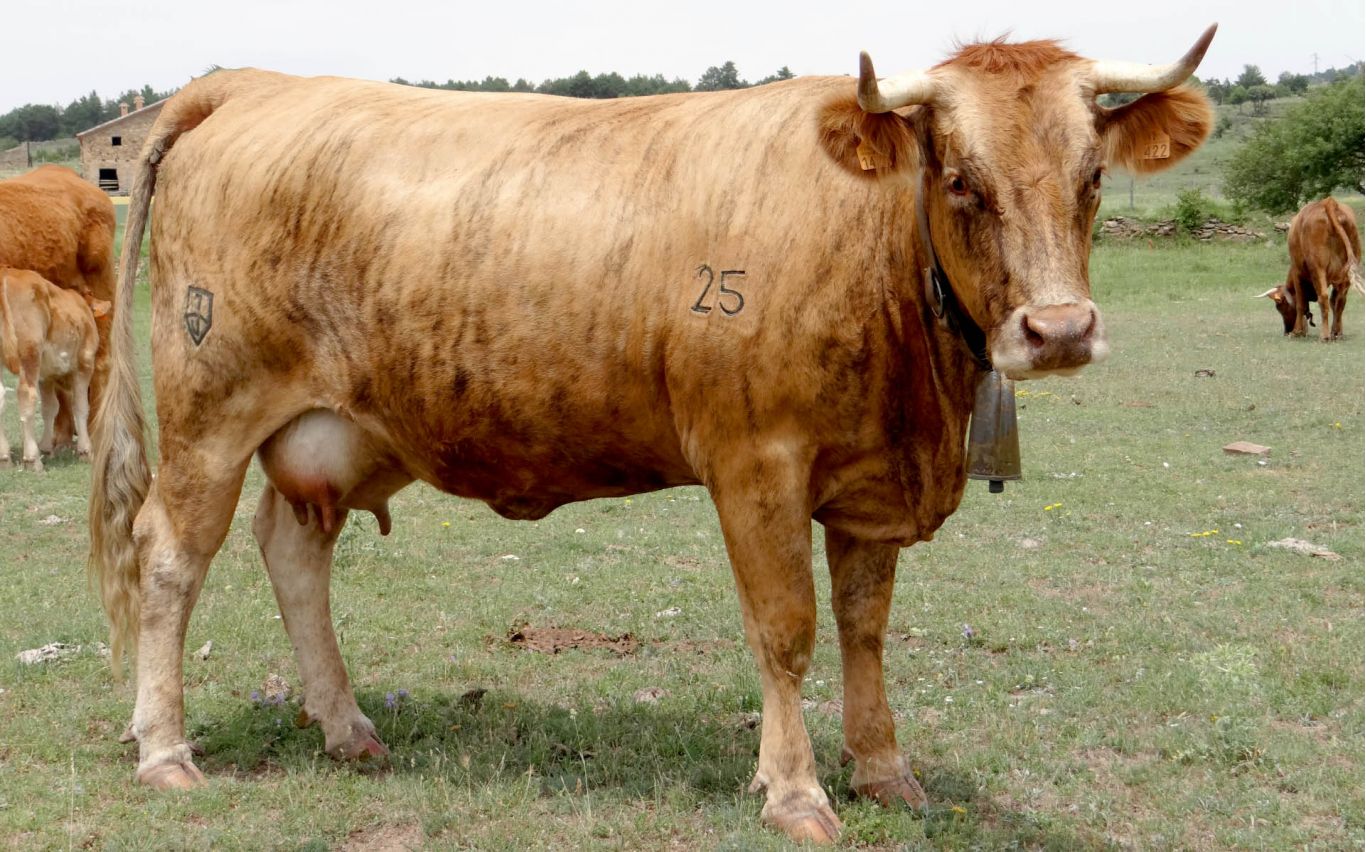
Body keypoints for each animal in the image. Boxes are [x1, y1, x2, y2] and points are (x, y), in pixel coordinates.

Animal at [0, 268, 109, 470]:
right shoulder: (85, 363)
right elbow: (80, 406)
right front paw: (85, 451)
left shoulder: (46, 376)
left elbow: (50, 408)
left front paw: (46, 447)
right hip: (30, 350)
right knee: (27, 394)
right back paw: (32, 459)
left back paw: (4, 458)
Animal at [89, 27, 1215, 843]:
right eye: (958, 180)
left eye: (1093, 177)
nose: (1058, 330)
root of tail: (250, 82)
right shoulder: (756, 463)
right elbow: (787, 629)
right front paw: (795, 792)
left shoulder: (866, 489)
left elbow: (864, 629)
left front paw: (886, 772)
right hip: (209, 416)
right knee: (169, 561)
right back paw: (165, 752)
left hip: (334, 431)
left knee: (293, 549)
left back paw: (346, 727)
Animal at [1257, 197, 1364, 340]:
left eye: (1280, 307)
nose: (1286, 331)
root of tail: (1328, 202)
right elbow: (1334, 302)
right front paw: (1337, 331)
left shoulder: (1297, 273)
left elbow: (1300, 303)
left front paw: (1296, 331)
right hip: (1347, 271)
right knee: (1340, 301)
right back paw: (1335, 333)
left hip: (1318, 268)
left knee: (1323, 297)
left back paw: (1324, 336)